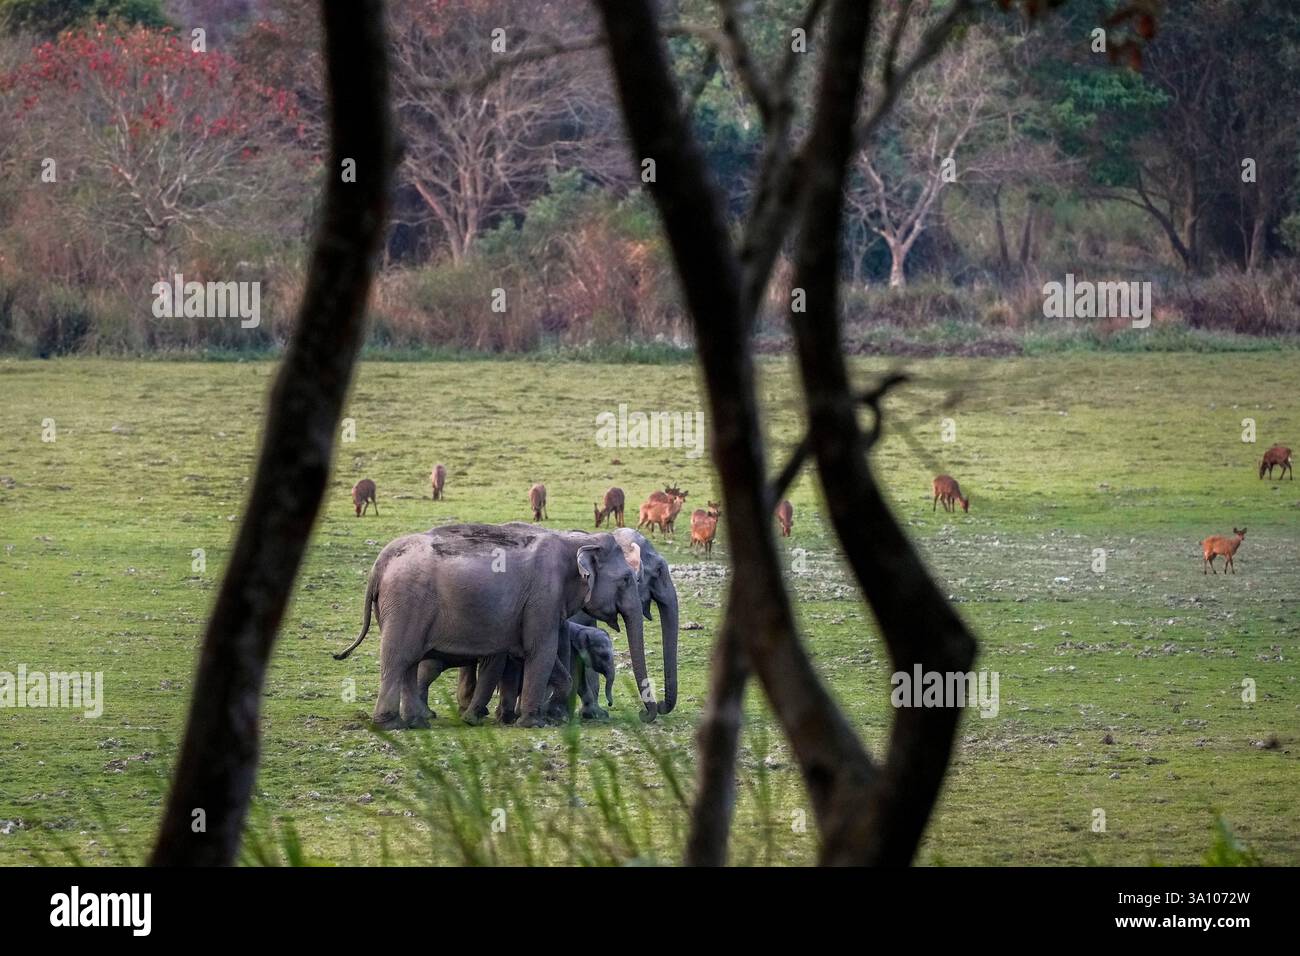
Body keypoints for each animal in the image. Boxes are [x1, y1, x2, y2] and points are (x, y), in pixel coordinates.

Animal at [333, 523, 646, 728]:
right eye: (626, 579)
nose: (648, 715)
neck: (575, 540)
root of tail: (380, 562)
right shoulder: (543, 595)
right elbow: (540, 651)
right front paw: (532, 722)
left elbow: (542, 653)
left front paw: (551, 715)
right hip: (405, 603)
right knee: (398, 658)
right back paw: (390, 725)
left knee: (409, 661)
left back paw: (417, 723)